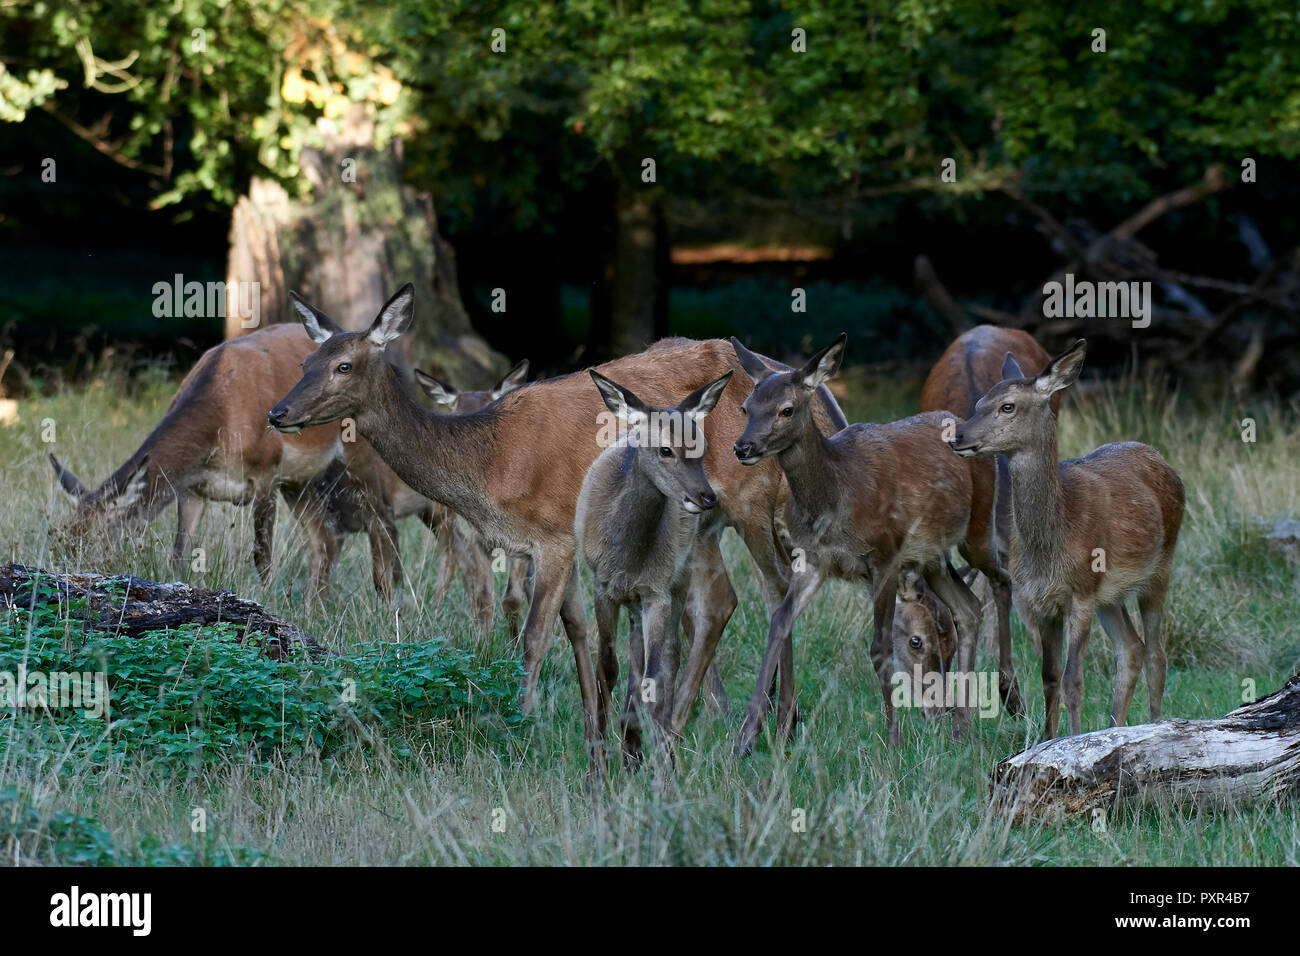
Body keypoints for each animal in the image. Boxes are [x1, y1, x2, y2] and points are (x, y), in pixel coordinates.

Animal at [47, 323, 431, 608]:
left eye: (100, 538)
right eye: (64, 538)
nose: (72, 578)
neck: (222, 417)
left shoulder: (266, 470)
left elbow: (262, 555)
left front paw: (264, 601)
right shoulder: (193, 489)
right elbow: (179, 554)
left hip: (357, 456)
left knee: (383, 523)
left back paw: (388, 599)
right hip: (303, 481)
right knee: (326, 536)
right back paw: (316, 606)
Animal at [576, 369, 732, 772]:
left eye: (701, 447)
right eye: (665, 449)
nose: (708, 497)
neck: (627, 558)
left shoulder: (657, 590)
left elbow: (655, 674)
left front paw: (662, 765)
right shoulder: (601, 586)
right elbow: (607, 669)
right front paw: (597, 767)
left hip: (680, 578)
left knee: (668, 658)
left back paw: (647, 744)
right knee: (634, 656)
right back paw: (629, 747)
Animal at [729, 333, 1007, 751]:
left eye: (786, 409)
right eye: (746, 407)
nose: (743, 447)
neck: (835, 499)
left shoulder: (885, 555)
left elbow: (879, 648)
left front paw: (893, 740)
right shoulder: (813, 560)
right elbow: (779, 621)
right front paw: (746, 737)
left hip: (977, 528)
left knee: (1003, 578)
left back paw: (1012, 697)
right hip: (933, 557)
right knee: (969, 608)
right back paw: (963, 727)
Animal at [949, 339, 1185, 738]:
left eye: (1007, 406)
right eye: (979, 402)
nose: (957, 437)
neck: (1054, 542)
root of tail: (1158, 456)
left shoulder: (1082, 593)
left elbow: (1074, 679)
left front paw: (1074, 741)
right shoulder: (1041, 597)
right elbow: (1049, 677)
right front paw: (1049, 740)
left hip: (1160, 568)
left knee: (1156, 653)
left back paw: (1153, 727)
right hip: (1111, 594)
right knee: (1131, 649)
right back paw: (1115, 729)